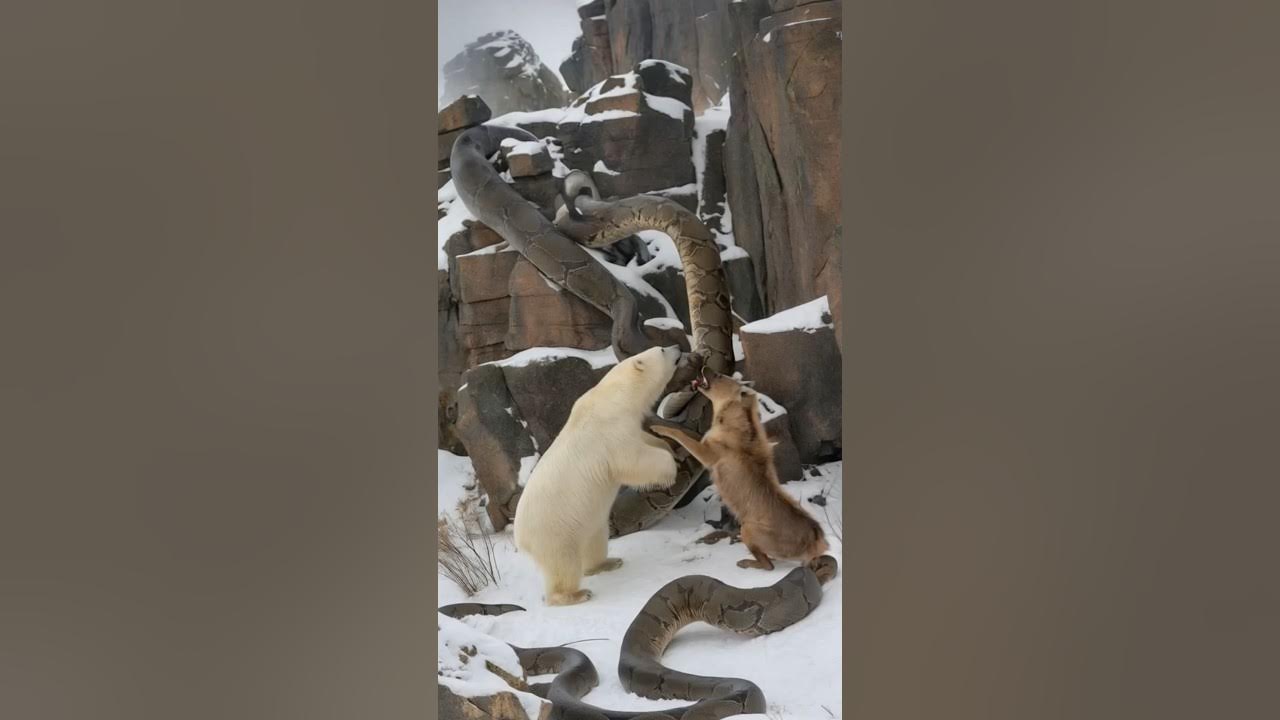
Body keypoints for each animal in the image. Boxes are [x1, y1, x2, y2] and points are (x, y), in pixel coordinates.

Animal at [513, 345, 683, 606]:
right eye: (662, 350)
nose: (678, 347)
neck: (616, 395)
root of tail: (520, 538)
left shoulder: (630, 424)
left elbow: (645, 440)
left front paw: (668, 446)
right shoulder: (611, 431)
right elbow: (631, 459)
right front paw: (670, 468)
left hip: (588, 521)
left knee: (595, 541)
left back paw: (607, 562)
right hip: (553, 530)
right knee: (564, 563)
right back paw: (575, 594)